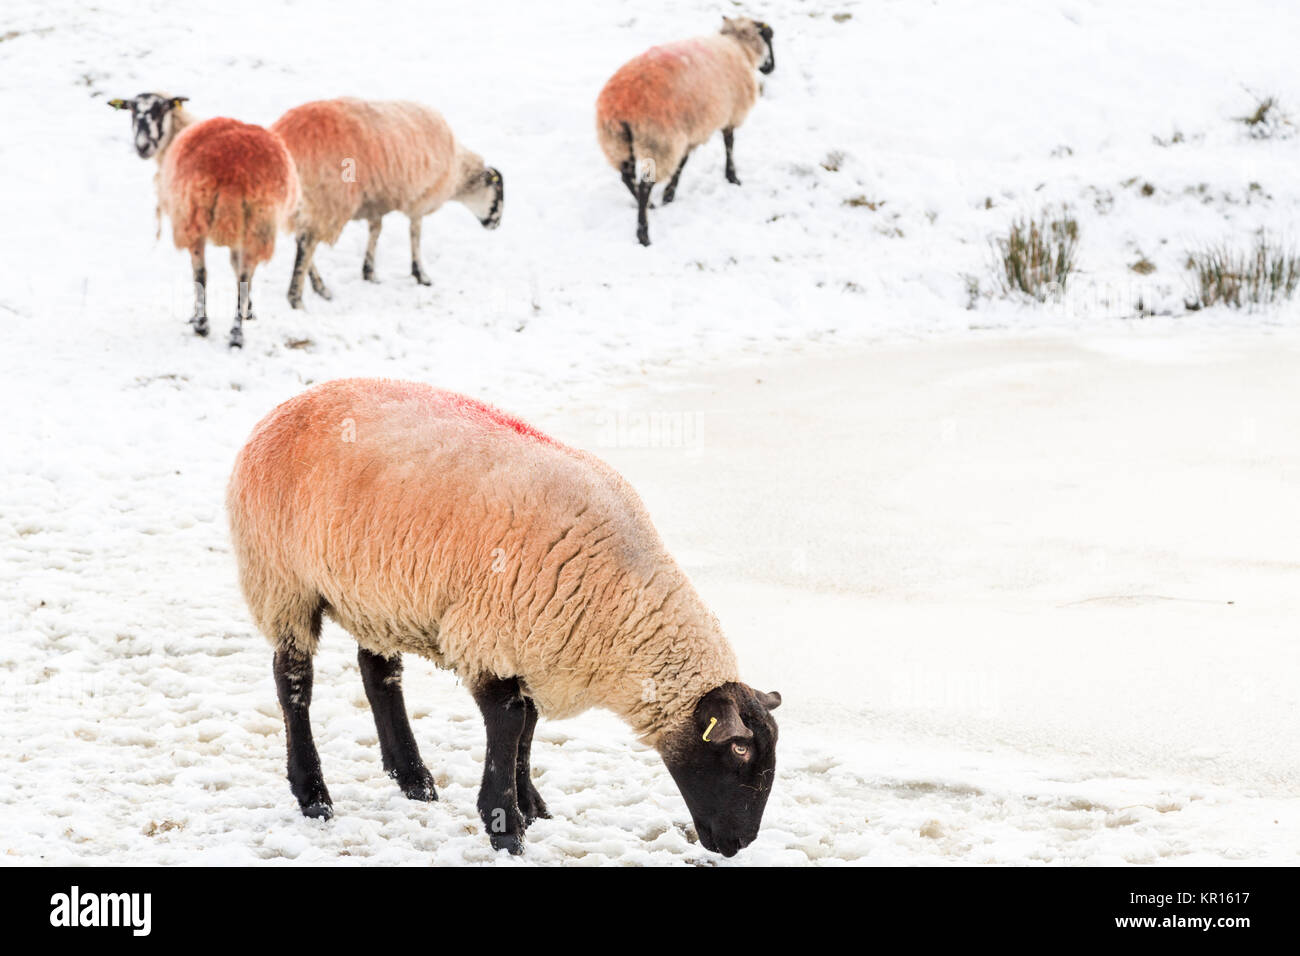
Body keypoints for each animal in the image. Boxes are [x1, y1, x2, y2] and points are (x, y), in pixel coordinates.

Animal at [107, 93, 300, 348]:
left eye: (160, 110)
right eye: (131, 110)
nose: (142, 146)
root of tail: (234, 173)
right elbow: (238, 269)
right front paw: (249, 311)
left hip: (194, 216)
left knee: (201, 273)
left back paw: (203, 324)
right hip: (259, 221)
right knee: (243, 274)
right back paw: (236, 334)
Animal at [227, 378, 782, 857]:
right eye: (739, 753)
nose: (740, 844)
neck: (616, 599)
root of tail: (284, 408)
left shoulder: (533, 641)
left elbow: (527, 725)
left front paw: (529, 804)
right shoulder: (489, 635)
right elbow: (511, 723)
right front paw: (505, 826)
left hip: (376, 592)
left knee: (379, 675)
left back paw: (413, 779)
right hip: (281, 581)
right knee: (293, 681)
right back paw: (314, 795)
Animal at [268, 98, 504, 309]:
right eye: (499, 192)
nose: (496, 225)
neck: (457, 172)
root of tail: (286, 135)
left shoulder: (376, 202)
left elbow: (376, 231)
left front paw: (369, 272)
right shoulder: (420, 197)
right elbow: (415, 234)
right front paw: (421, 275)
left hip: (305, 203)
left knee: (303, 239)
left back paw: (319, 288)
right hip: (329, 198)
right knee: (307, 244)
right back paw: (297, 299)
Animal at [595, 17, 775, 246]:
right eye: (769, 37)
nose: (770, 68)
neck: (739, 46)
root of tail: (621, 105)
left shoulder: (690, 131)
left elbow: (683, 162)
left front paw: (669, 194)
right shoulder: (729, 114)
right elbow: (729, 144)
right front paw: (732, 177)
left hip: (616, 142)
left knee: (626, 177)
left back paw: (648, 205)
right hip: (658, 141)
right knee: (645, 185)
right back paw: (644, 234)